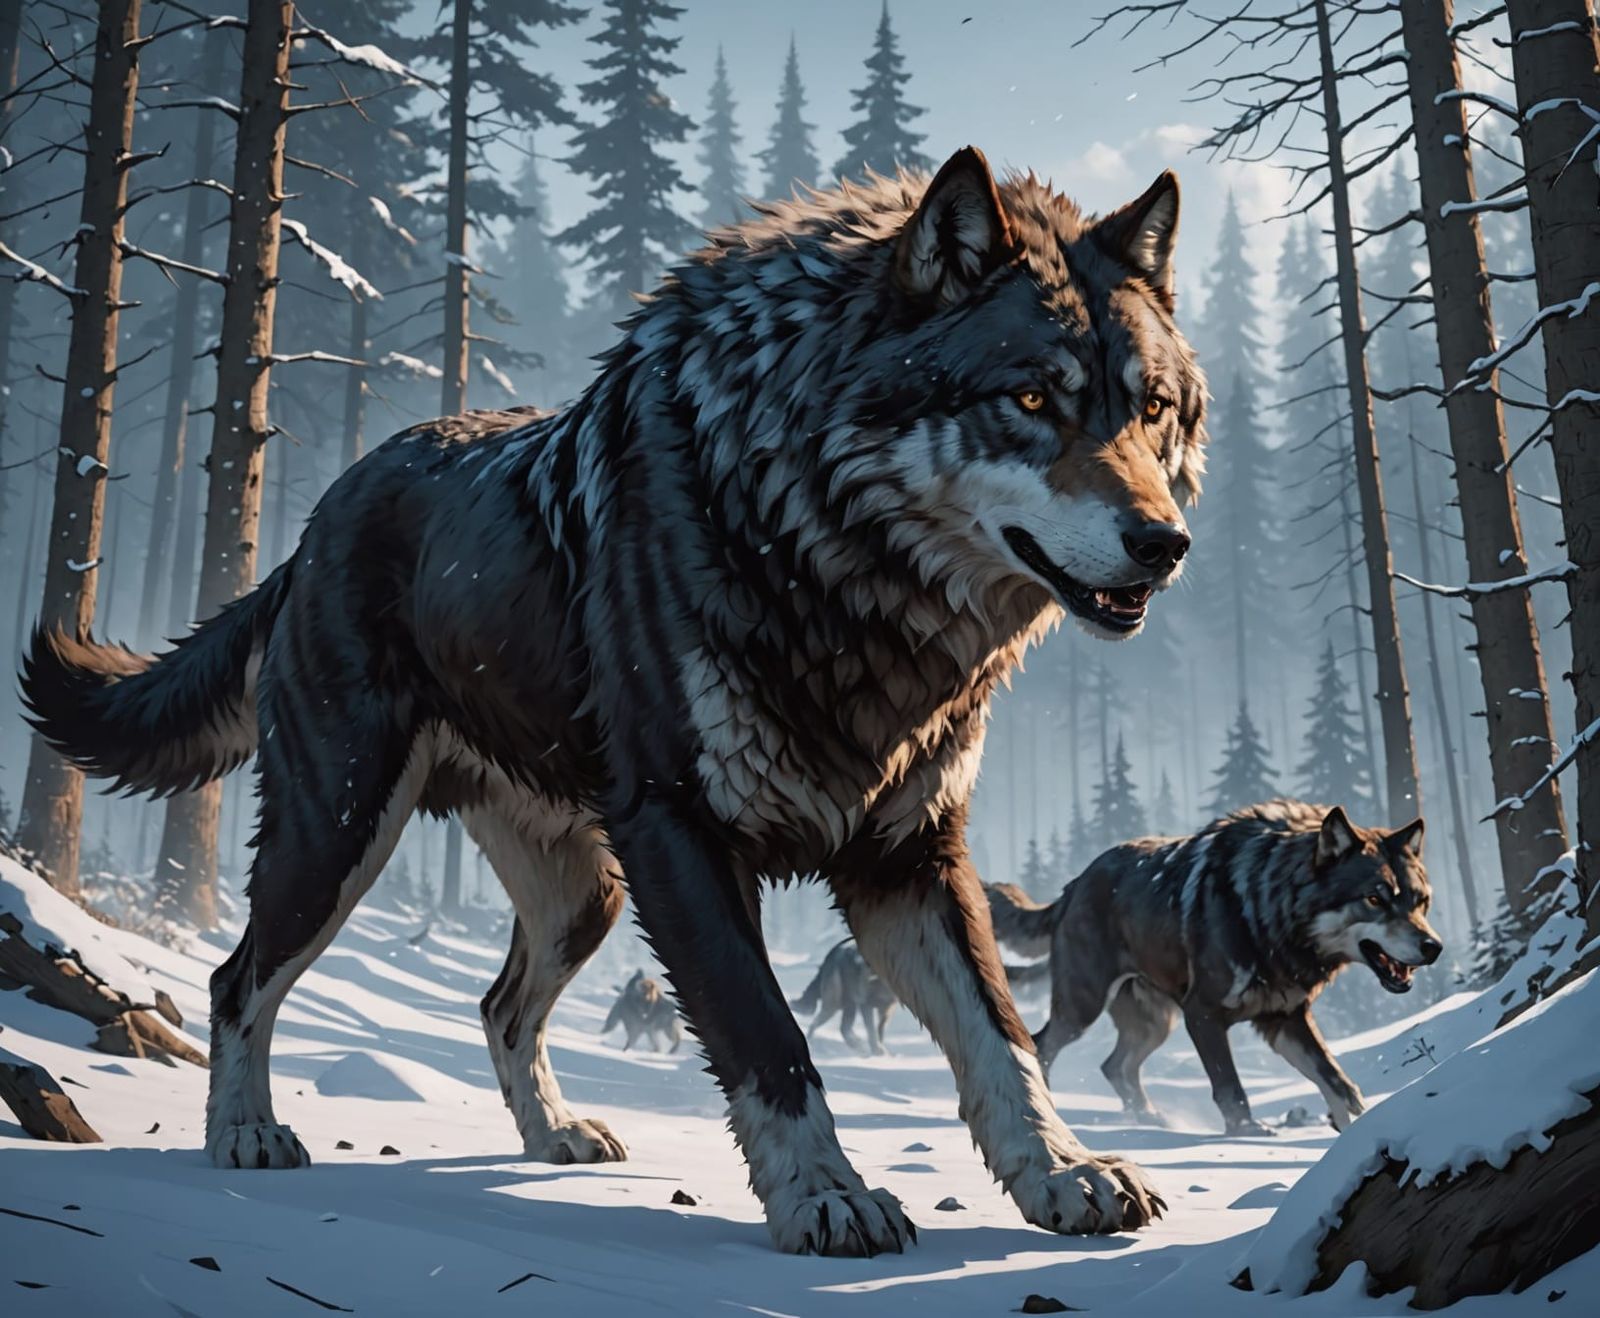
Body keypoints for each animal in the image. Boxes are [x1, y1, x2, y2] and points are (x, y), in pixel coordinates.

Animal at [23, 146, 1207, 1255]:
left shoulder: (908, 852)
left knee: (499, 1005)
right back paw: (243, 1134)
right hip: (340, 835)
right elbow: (769, 1038)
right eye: (1032, 400)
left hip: (581, 896)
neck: (833, 577)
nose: (1166, 544)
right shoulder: (683, 833)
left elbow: (999, 1034)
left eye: (1150, 409)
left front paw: (1064, 1174)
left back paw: (552, 1134)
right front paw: (826, 1197)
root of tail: (318, 521)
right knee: (238, 980)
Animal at [987, 801, 1442, 1135]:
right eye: (1375, 899)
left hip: (1155, 1023)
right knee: (1041, 1047)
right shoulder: (1202, 1016)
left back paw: (1152, 1119)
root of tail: (1072, 886)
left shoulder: (1286, 1020)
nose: (1433, 947)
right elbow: (1231, 1087)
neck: (1264, 914)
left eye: (1421, 901)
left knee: (1114, 1066)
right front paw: (1247, 1134)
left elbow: (1340, 1083)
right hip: (1084, 1008)